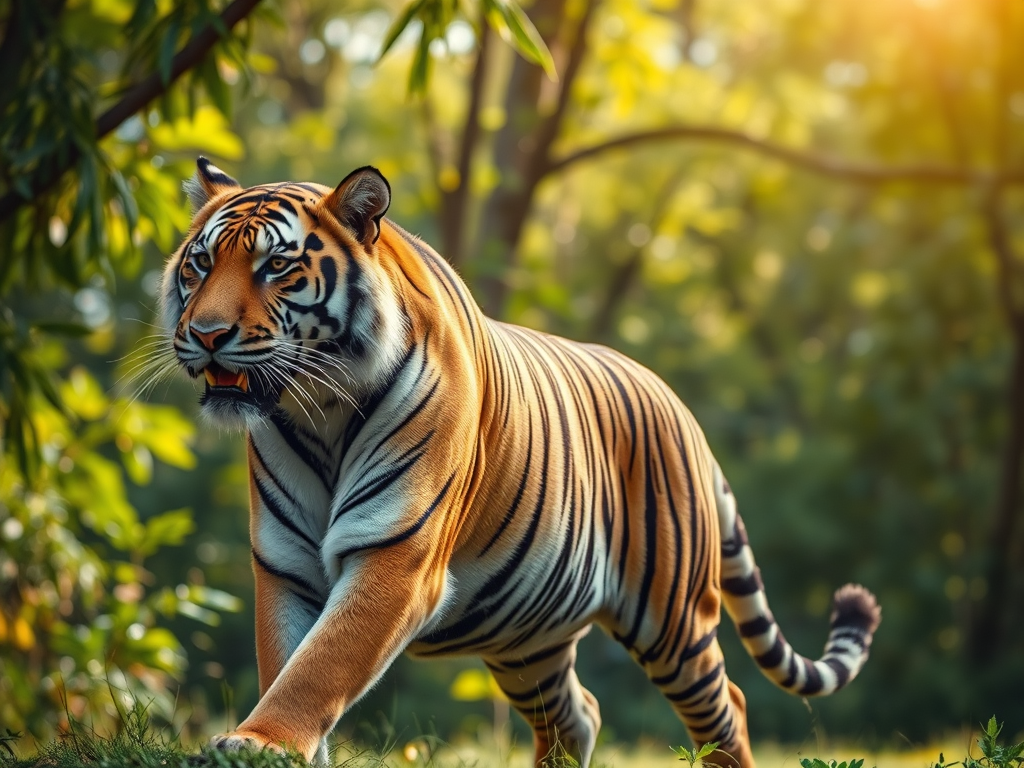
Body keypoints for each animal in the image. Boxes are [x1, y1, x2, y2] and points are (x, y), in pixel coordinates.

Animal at [157, 158, 881, 768]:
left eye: (274, 268)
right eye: (200, 265)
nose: (206, 335)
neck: (320, 411)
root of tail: (683, 411)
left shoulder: (394, 552)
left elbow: (321, 665)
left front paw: (258, 745)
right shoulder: (285, 563)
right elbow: (286, 660)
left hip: (671, 620)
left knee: (725, 705)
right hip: (526, 637)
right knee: (577, 715)